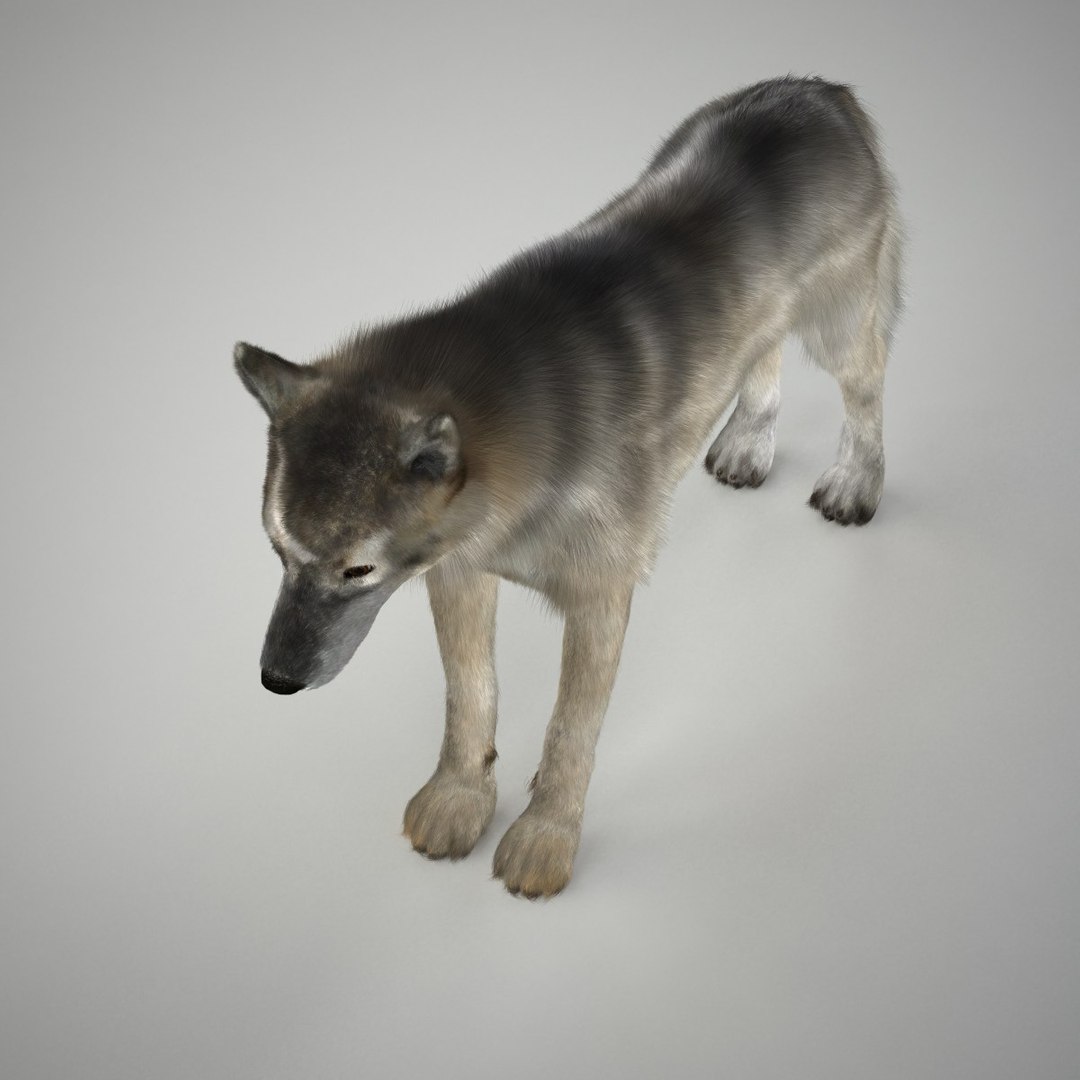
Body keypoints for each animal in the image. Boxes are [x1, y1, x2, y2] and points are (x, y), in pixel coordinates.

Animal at [234, 75, 904, 898]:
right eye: (277, 549)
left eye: (357, 570)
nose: (275, 682)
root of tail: (819, 88)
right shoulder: (458, 573)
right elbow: (471, 696)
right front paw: (459, 798)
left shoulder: (600, 597)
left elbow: (570, 732)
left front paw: (544, 839)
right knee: (764, 351)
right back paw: (747, 443)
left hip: (839, 326)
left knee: (866, 386)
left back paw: (856, 483)